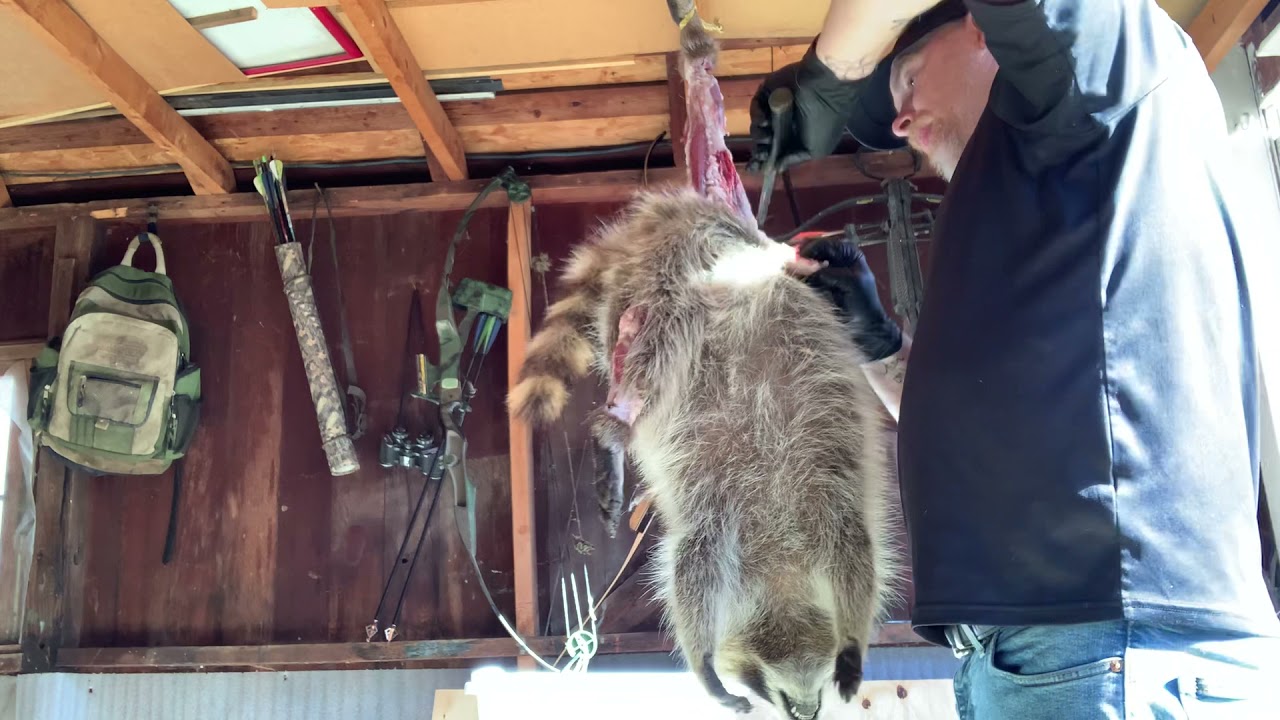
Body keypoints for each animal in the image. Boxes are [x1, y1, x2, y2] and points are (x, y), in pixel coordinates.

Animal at [509, 188, 899, 718]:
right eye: (774, 690)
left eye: (813, 694)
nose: (807, 712)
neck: (782, 569)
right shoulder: (719, 516)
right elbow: (690, 571)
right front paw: (705, 665)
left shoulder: (829, 499)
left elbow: (856, 555)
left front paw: (851, 641)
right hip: (674, 273)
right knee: (663, 341)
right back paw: (619, 424)